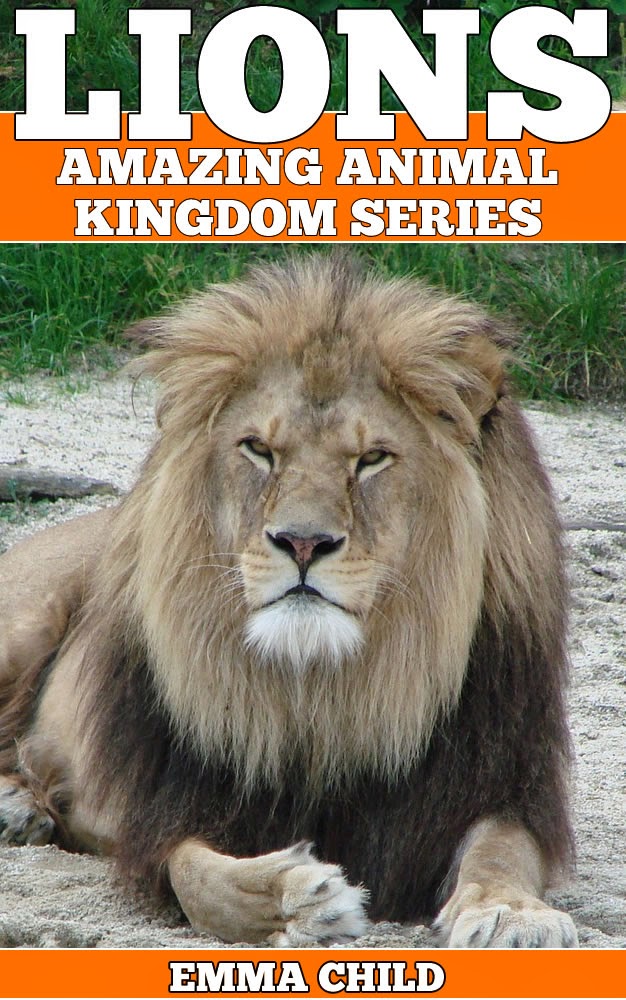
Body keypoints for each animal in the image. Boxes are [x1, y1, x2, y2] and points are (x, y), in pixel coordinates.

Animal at [0, 254, 577, 948]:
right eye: (258, 449)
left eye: (372, 459)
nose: (303, 542)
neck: (321, 694)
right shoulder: (160, 807)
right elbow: (198, 879)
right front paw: (300, 898)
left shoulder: (500, 783)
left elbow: (501, 848)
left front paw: (510, 914)